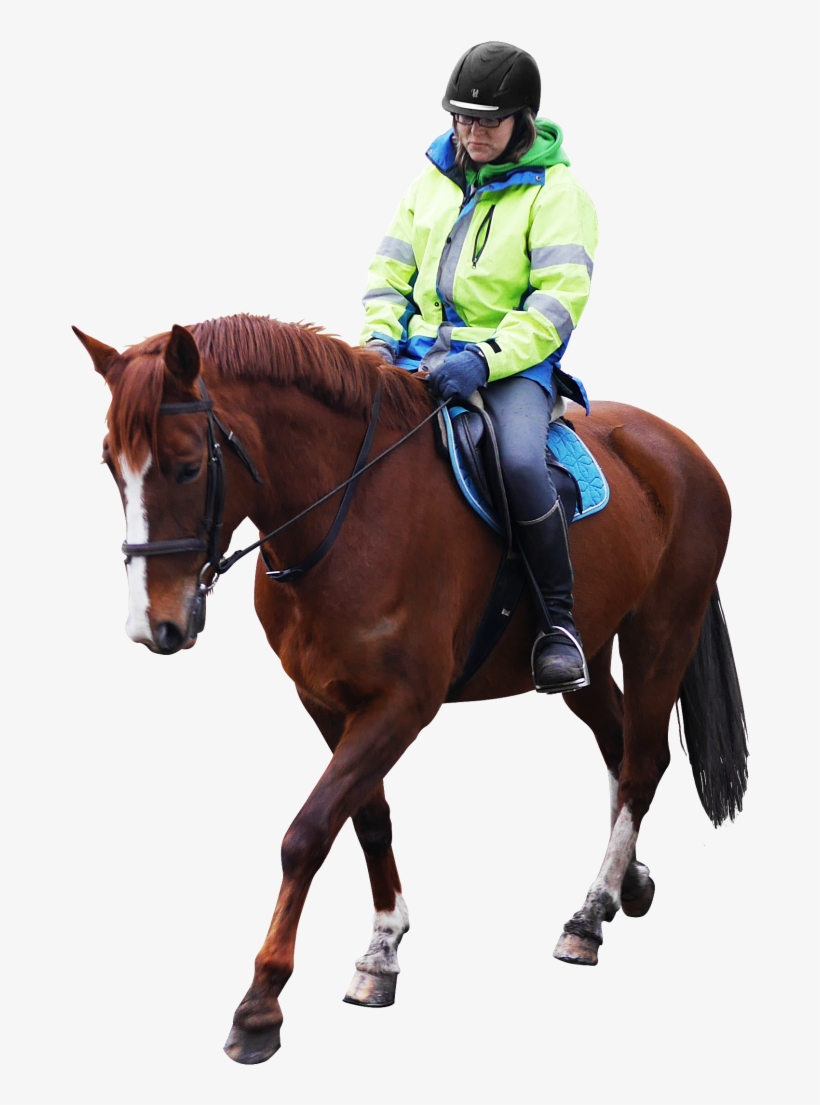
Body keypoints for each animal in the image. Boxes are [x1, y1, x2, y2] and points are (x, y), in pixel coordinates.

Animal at [75, 313, 747, 1066]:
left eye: (189, 464)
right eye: (111, 464)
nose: (153, 625)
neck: (350, 508)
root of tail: (677, 447)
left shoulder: (401, 705)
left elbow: (309, 830)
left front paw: (260, 1005)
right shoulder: (327, 701)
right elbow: (366, 819)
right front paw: (381, 952)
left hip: (663, 631)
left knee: (641, 762)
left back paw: (588, 916)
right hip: (590, 655)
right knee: (620, 741)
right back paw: (626, 881)